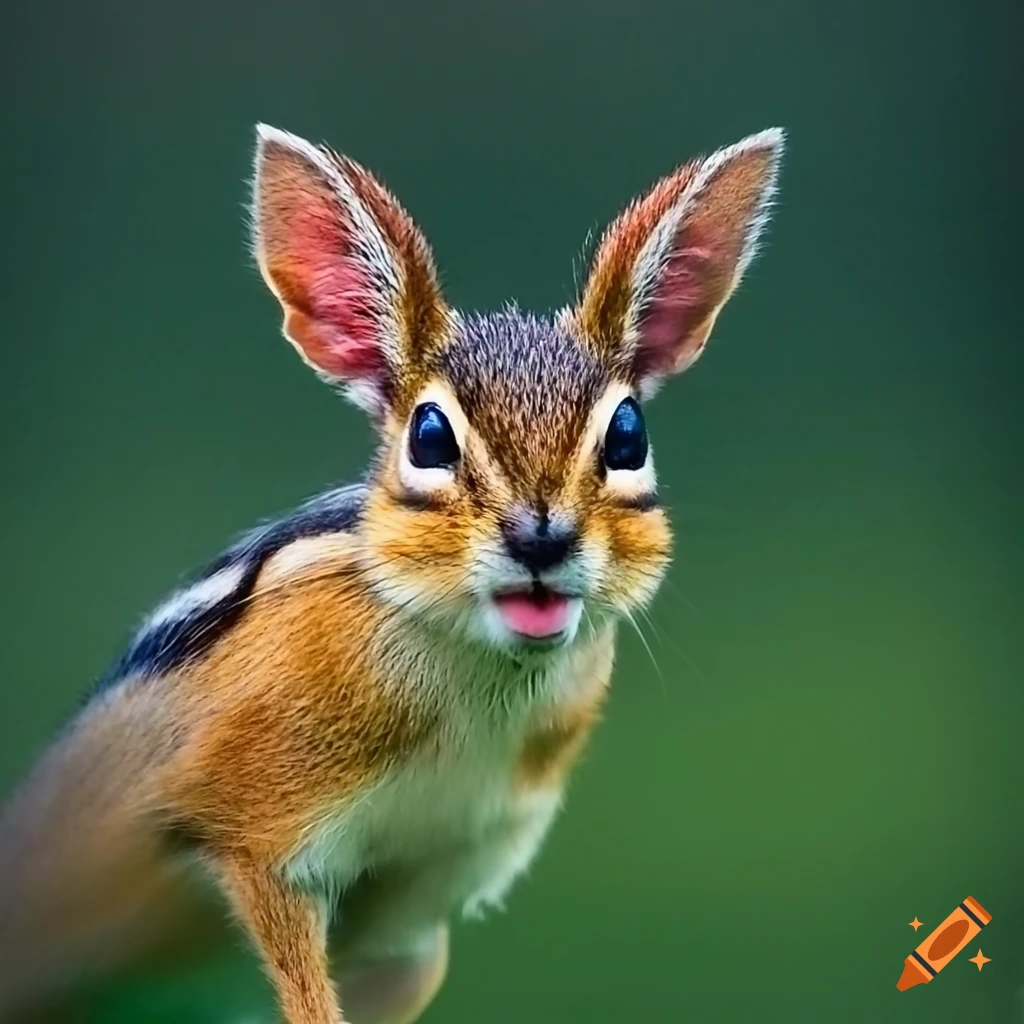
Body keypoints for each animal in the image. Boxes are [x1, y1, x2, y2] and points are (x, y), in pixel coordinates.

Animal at [0, 123, 783, 1024]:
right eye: (429, 437)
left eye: (628, 436)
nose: (541, 538)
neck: (478, 691)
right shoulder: (260, 843)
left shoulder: (418, 914)